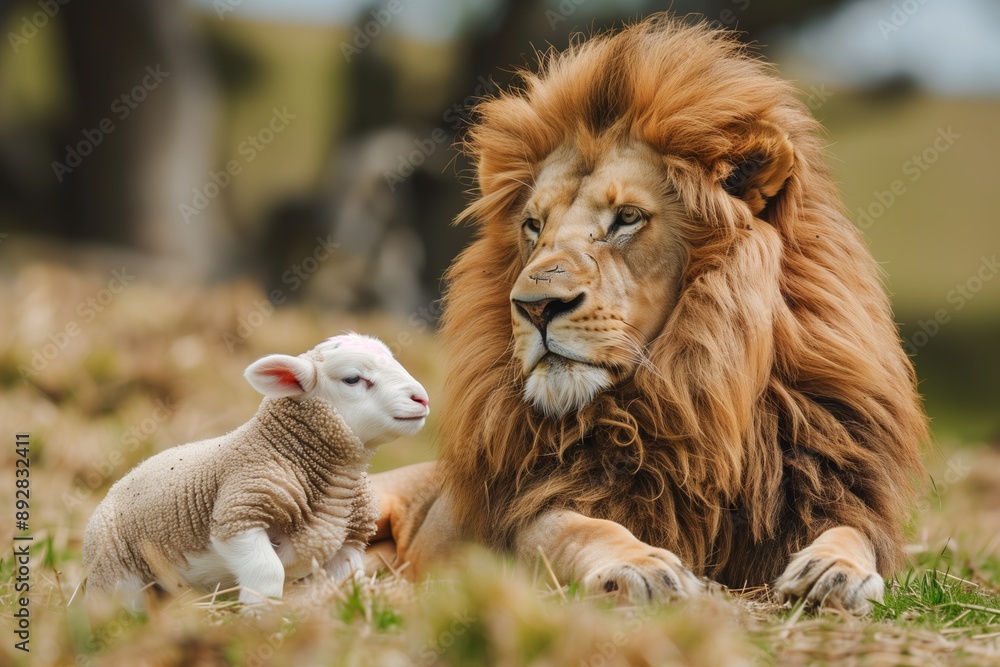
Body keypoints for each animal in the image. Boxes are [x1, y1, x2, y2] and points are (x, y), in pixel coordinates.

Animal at [82, 333, 429, 606]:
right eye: (353, 379)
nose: (422, 399)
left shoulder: (350, 540)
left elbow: (348, 583)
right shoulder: (241, 512)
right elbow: (267, 573)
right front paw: (260, 621)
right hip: (112, 570)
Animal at [368, 15, 927, 614]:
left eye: (628, 218)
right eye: (534, 225)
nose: (536, 306)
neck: (686, 393)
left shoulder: (827, 489)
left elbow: (852, 534)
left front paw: (835, 572)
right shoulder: (526, 510)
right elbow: (578, 527)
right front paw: (641, 567)